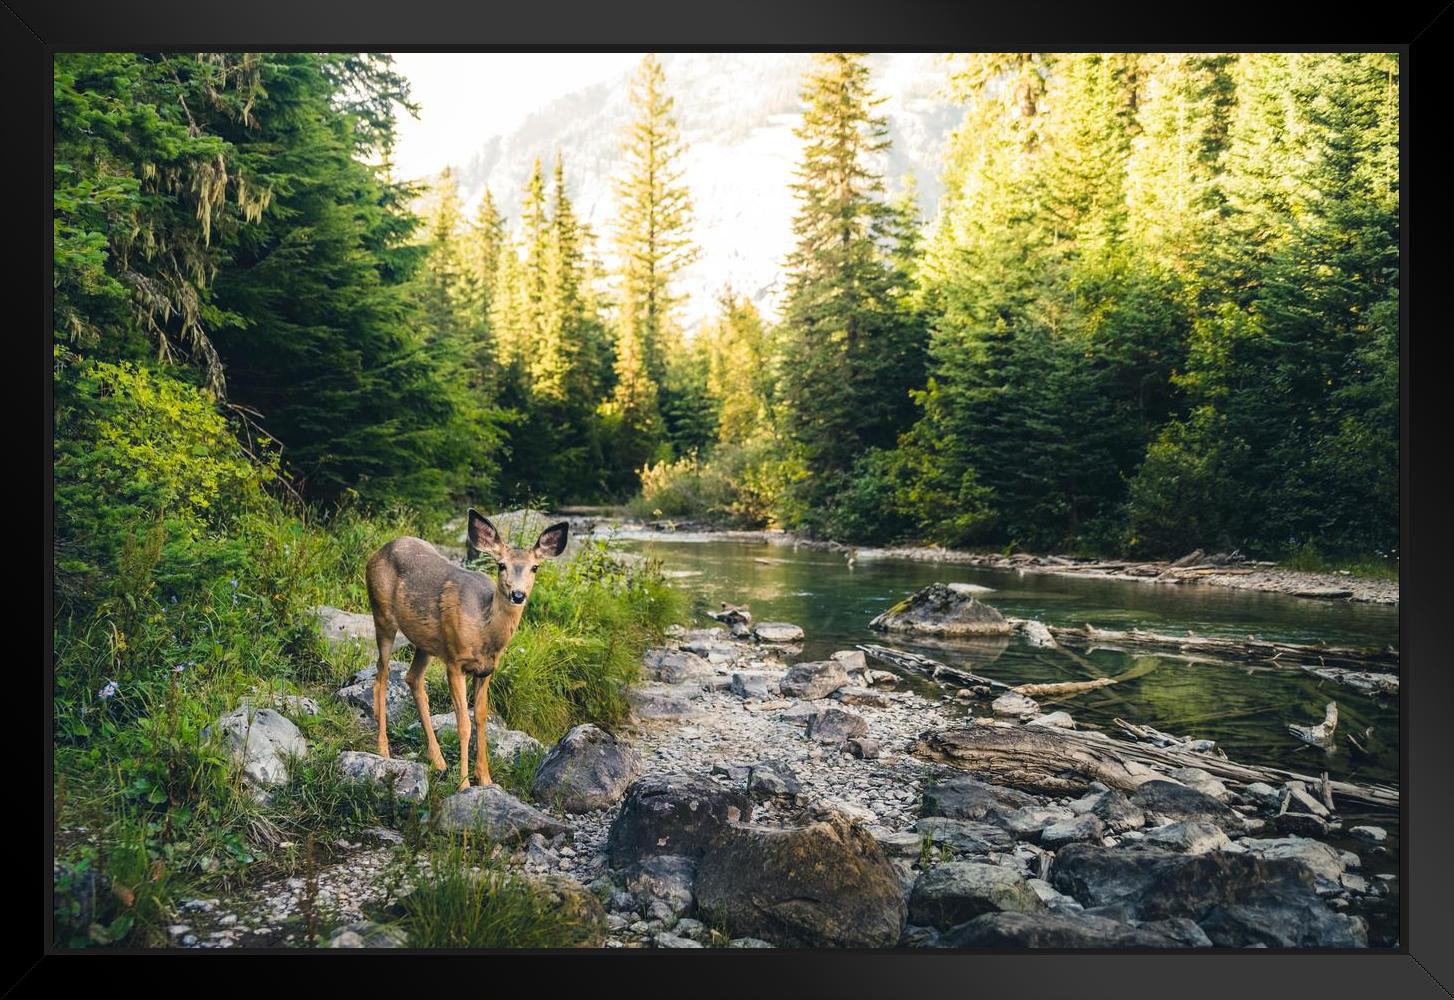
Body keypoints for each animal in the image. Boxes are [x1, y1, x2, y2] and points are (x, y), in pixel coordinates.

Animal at [364, 510, 569, 790]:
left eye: (535, 567)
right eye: (501, 565)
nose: (518, 594)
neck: (484, 633)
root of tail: (378, 552)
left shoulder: (486, 670)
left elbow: (481, 719)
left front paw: (486, 779)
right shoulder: (455, 662)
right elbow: (463, 724)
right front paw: (463, 784)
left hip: (426, 643)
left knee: (412, 678)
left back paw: (438, 760)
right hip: (382, 614)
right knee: (381, 676)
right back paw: (383, 749)